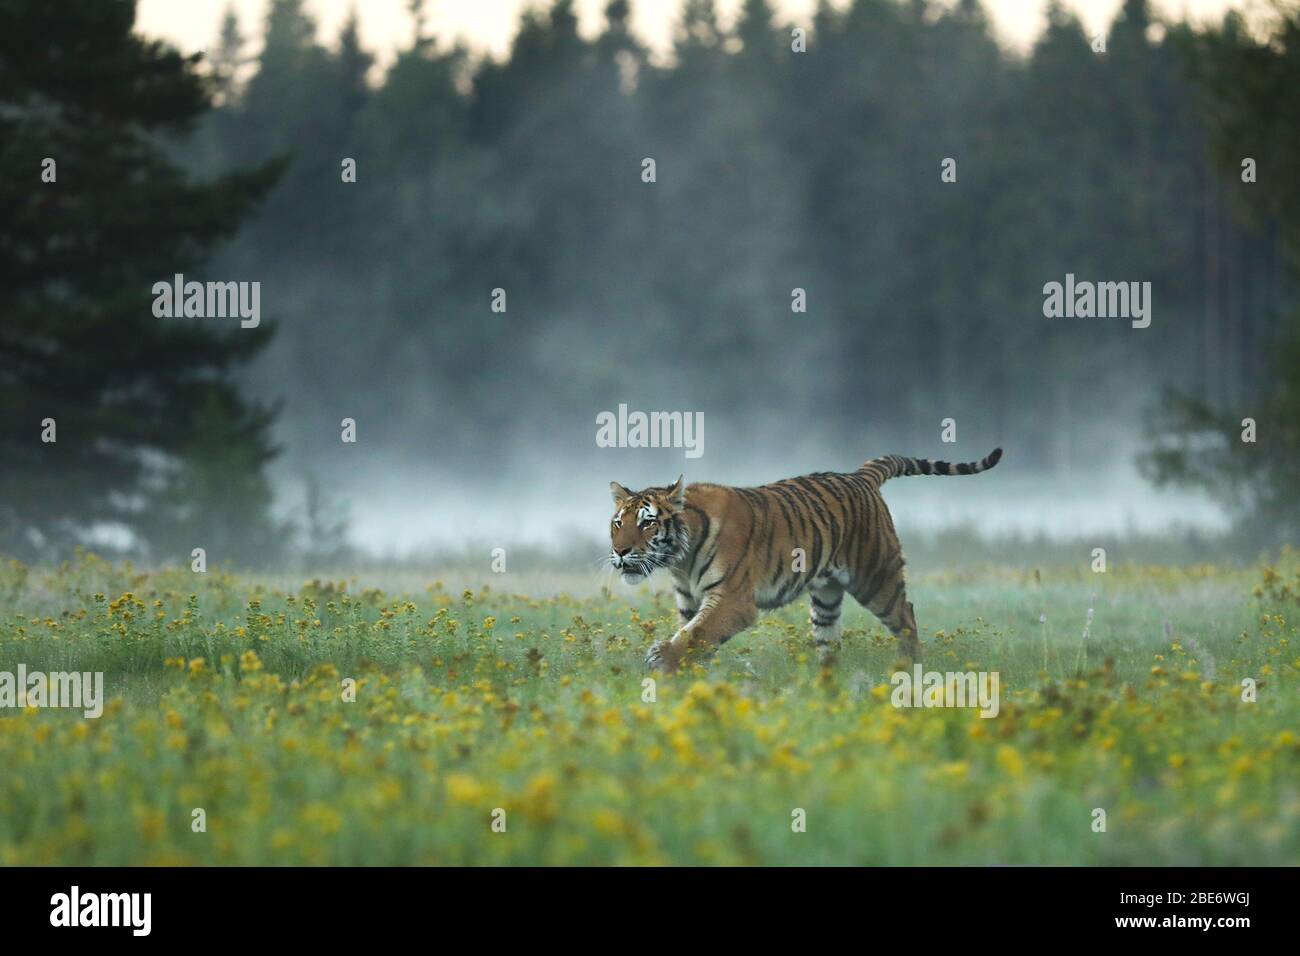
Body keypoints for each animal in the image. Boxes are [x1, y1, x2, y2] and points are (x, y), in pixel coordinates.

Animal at [608, 447, 1002, 673]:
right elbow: (693, 634)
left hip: (876, 578)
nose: (620, 551)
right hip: (826, 596)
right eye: (618, 523)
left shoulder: (733, 600)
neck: (681, 559)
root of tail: (860, 476)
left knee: (906, 614)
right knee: (830, 639)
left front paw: (663, 662)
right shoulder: (689, 601)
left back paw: (909, 667)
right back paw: (826, 681)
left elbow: (698, 634)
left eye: (647, 522)